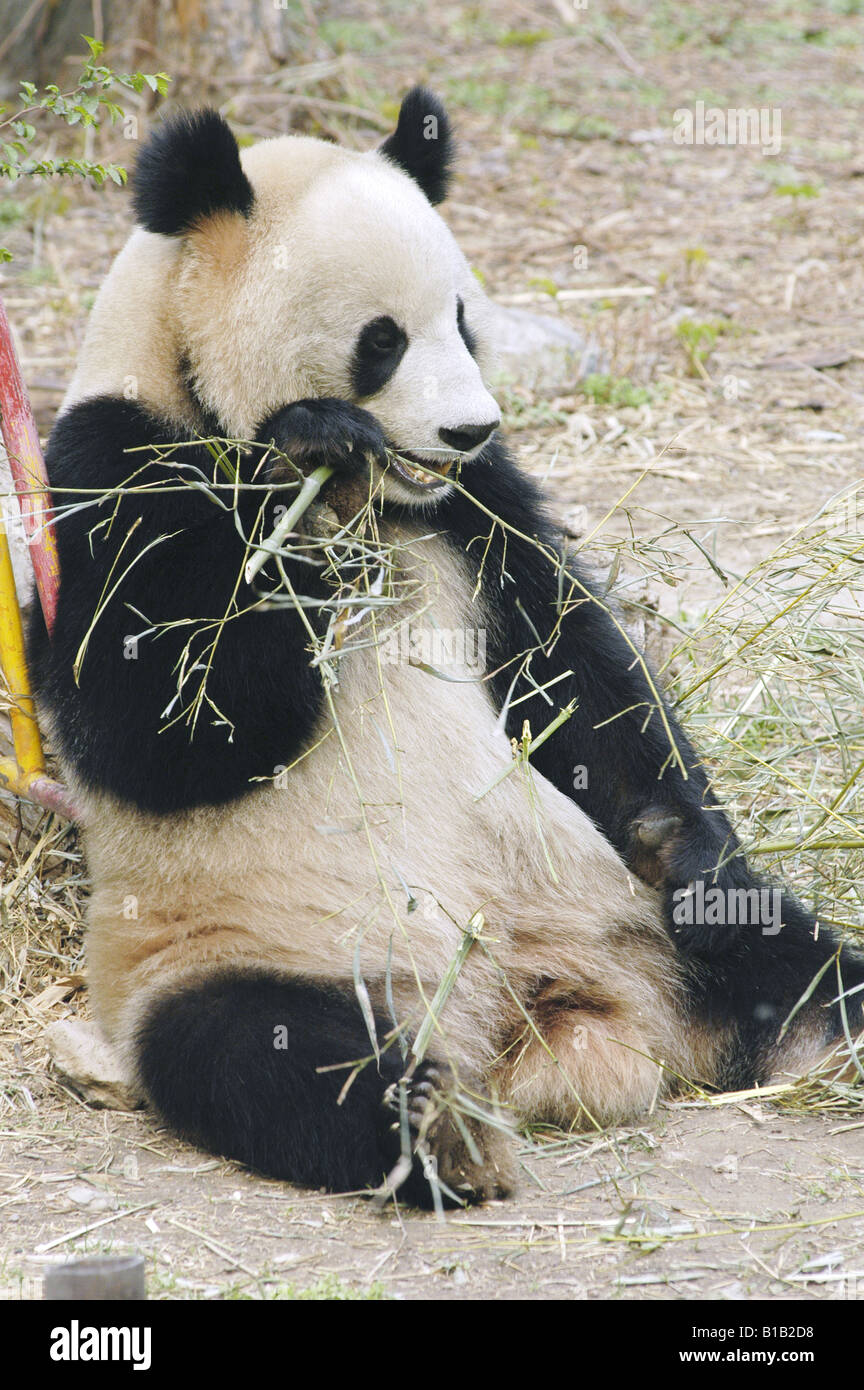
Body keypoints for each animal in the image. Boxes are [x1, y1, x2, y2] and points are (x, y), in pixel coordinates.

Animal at [27, 89, 864, 1207]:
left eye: (464, 321)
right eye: (382, 340)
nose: (470, 428)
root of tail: (552, 1020)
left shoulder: (474, 511)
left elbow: (570, 668)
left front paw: (677, 833)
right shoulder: (111, 466)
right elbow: (161, 724)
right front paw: (308, 459)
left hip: (632, 919)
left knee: (780, 956)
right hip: (238, 949)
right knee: (267, 1055)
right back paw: (438, 1125)